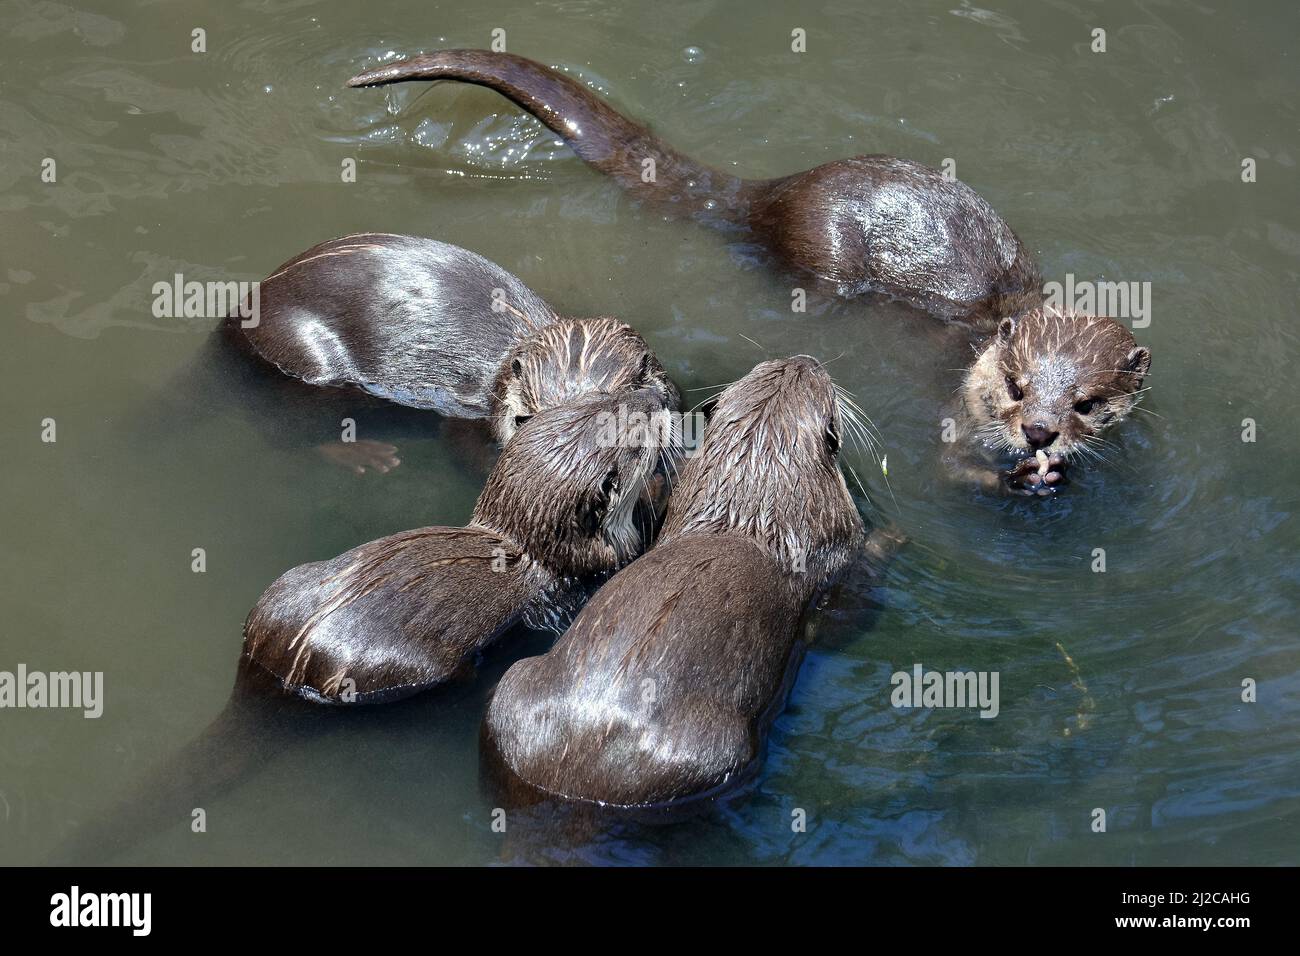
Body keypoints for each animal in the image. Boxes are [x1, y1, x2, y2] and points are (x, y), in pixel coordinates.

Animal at [483, 356, 902, 808]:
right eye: (817, 380)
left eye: (769, 365)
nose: (805, 360)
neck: (751, 504)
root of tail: (567, 776)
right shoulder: (837, 556)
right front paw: (895, 537)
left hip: (511, 690)